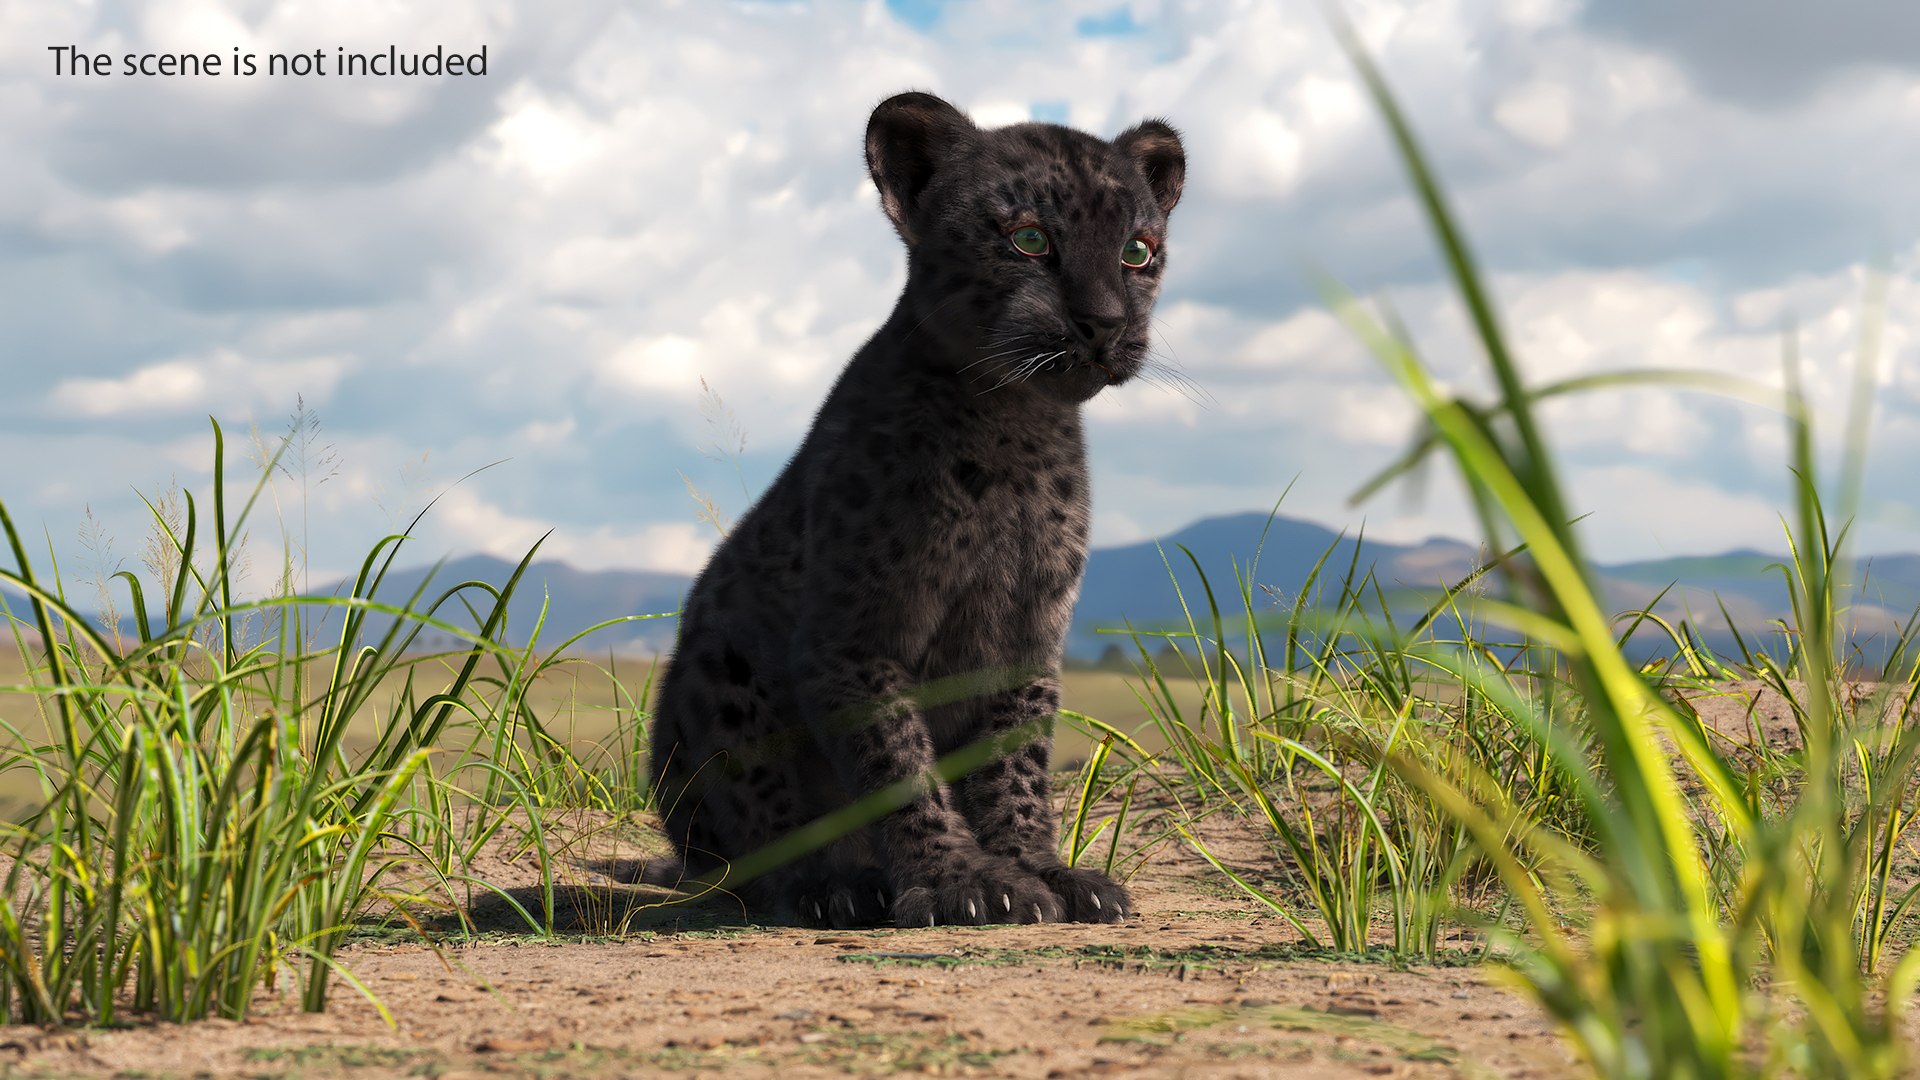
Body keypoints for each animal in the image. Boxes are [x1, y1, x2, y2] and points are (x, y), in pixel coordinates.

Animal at [647, 90, 1185, 928]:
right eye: (1029, 239)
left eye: (1137, 250)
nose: (1105, 323)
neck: (1014, 424)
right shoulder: (855, 640)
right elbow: (901, 764)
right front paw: (962, 882)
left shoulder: (1025, 639)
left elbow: (1016, 765)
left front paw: (1041, 870)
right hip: (715, 674)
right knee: (756, 832)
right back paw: (832, 885)